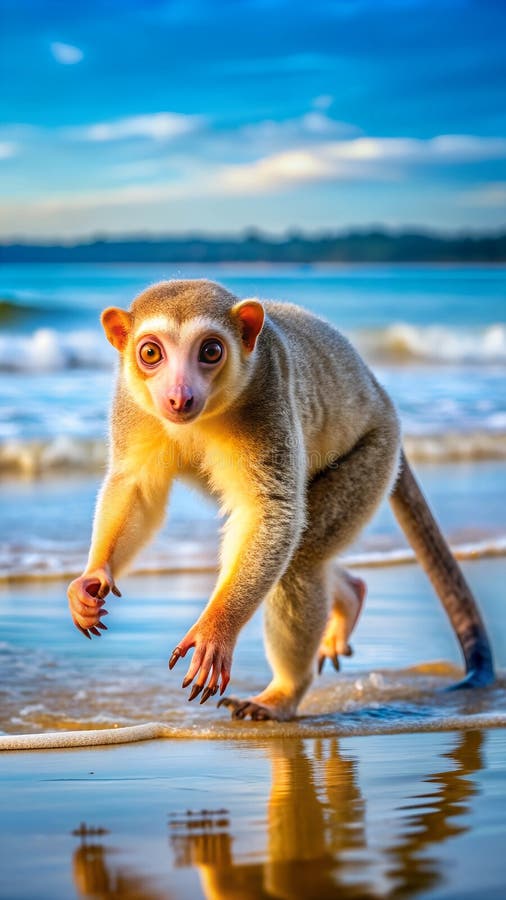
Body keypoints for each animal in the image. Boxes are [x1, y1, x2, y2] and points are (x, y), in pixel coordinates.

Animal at [67, 279, 494, 722]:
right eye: (150, 353)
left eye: (210, 351)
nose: (179, 397)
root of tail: (380, 393)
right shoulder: (129, 403)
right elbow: (136, 486)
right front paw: (93, 577)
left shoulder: (266, 396)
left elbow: (273, 512)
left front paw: (216, 629)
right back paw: (349, 595)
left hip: (377, 453)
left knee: (300, 562)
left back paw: (283, 695)